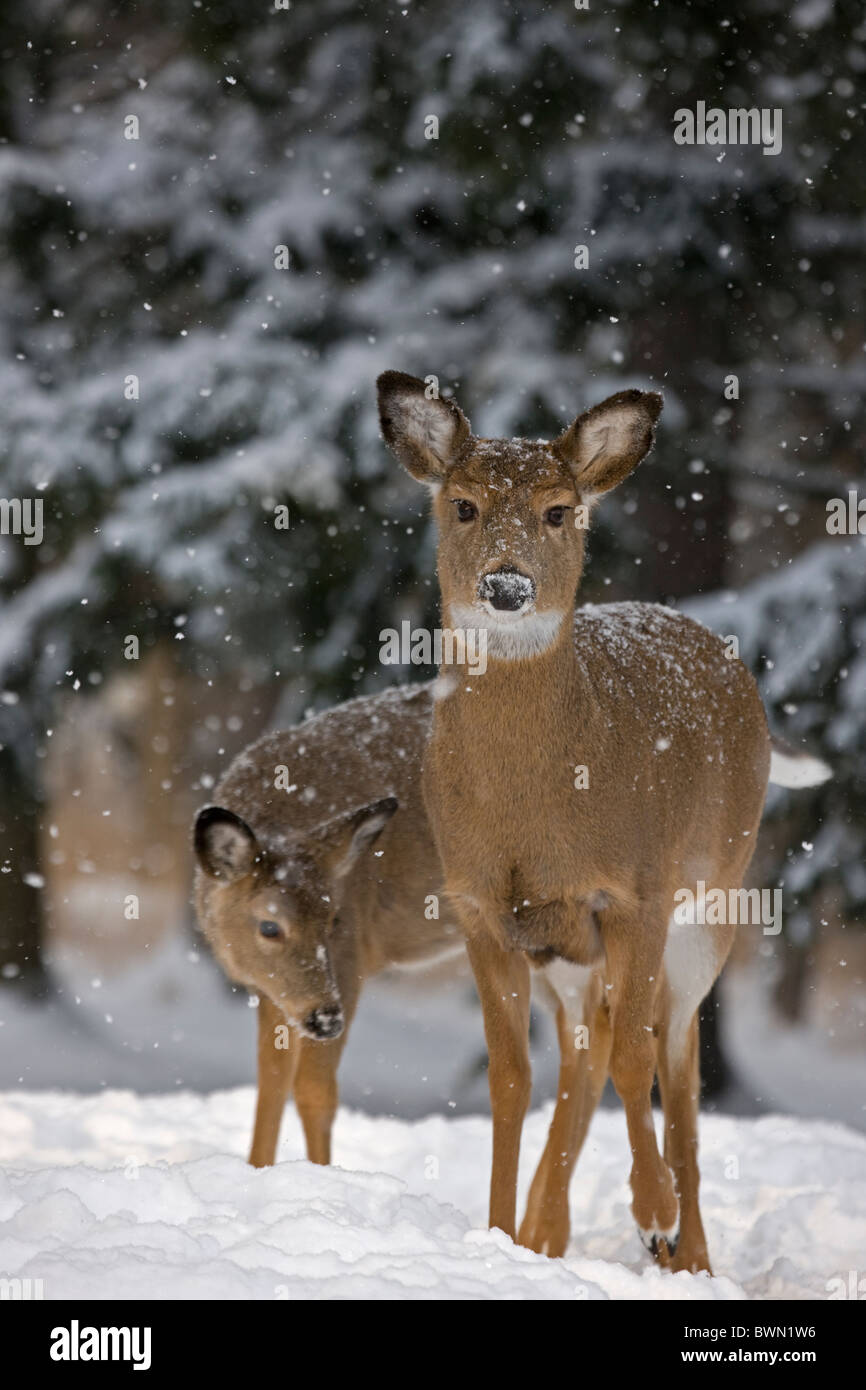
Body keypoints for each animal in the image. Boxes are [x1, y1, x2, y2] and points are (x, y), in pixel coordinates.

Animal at [377, 369, 830, 1274]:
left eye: (558, 510)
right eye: (463, 505)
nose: (506, 586)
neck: (533, 810)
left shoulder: (636, 893)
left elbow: (635, 1057)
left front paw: (653, 1214)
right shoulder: (481, 909)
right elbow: (510, 1079)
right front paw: (498, 1237)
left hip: (712, 908)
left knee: (675, 1063)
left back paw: (687, 1251)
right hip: (568, 954)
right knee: (584, 1055)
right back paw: (548, 1234)